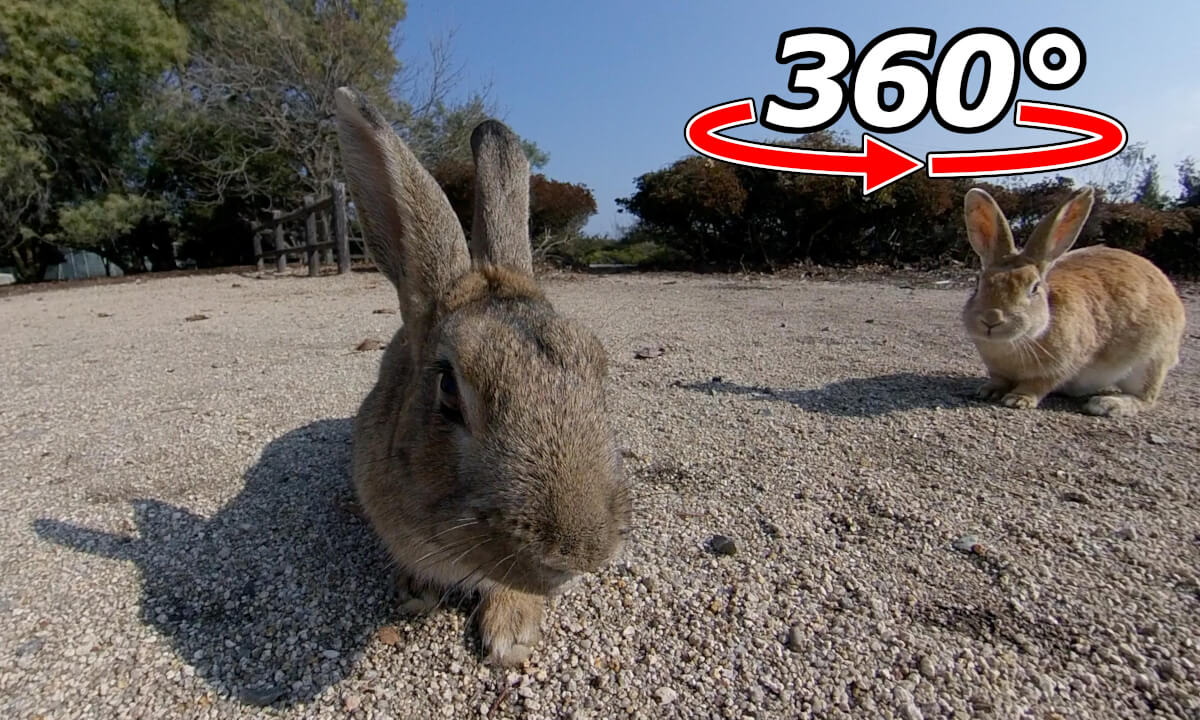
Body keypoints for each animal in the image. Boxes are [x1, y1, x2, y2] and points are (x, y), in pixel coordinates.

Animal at [960, 185, 1186, 417]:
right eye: (978, 283)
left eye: (1034, 288)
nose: (991, 318)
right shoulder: (998, 370)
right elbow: (999, 380)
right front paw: (988, 391)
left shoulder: (1060, 366)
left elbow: (1037, 385)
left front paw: (1018, 399)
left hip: (1149, 362)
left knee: (1146, 397)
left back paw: (1107, 403)